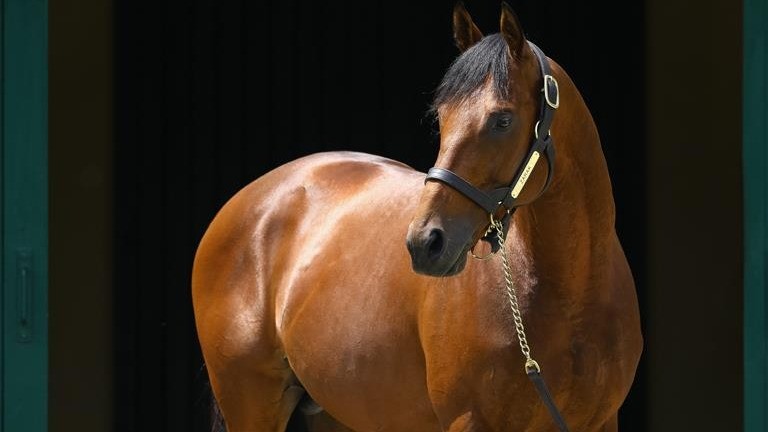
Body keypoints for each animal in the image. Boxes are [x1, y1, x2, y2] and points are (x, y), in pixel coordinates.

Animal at [192, 3, 642, 431]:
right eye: (441, 117)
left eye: (502, 119)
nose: (426, 244)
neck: (574, 296)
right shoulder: (469, 421)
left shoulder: (602, 421)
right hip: (251, 407)